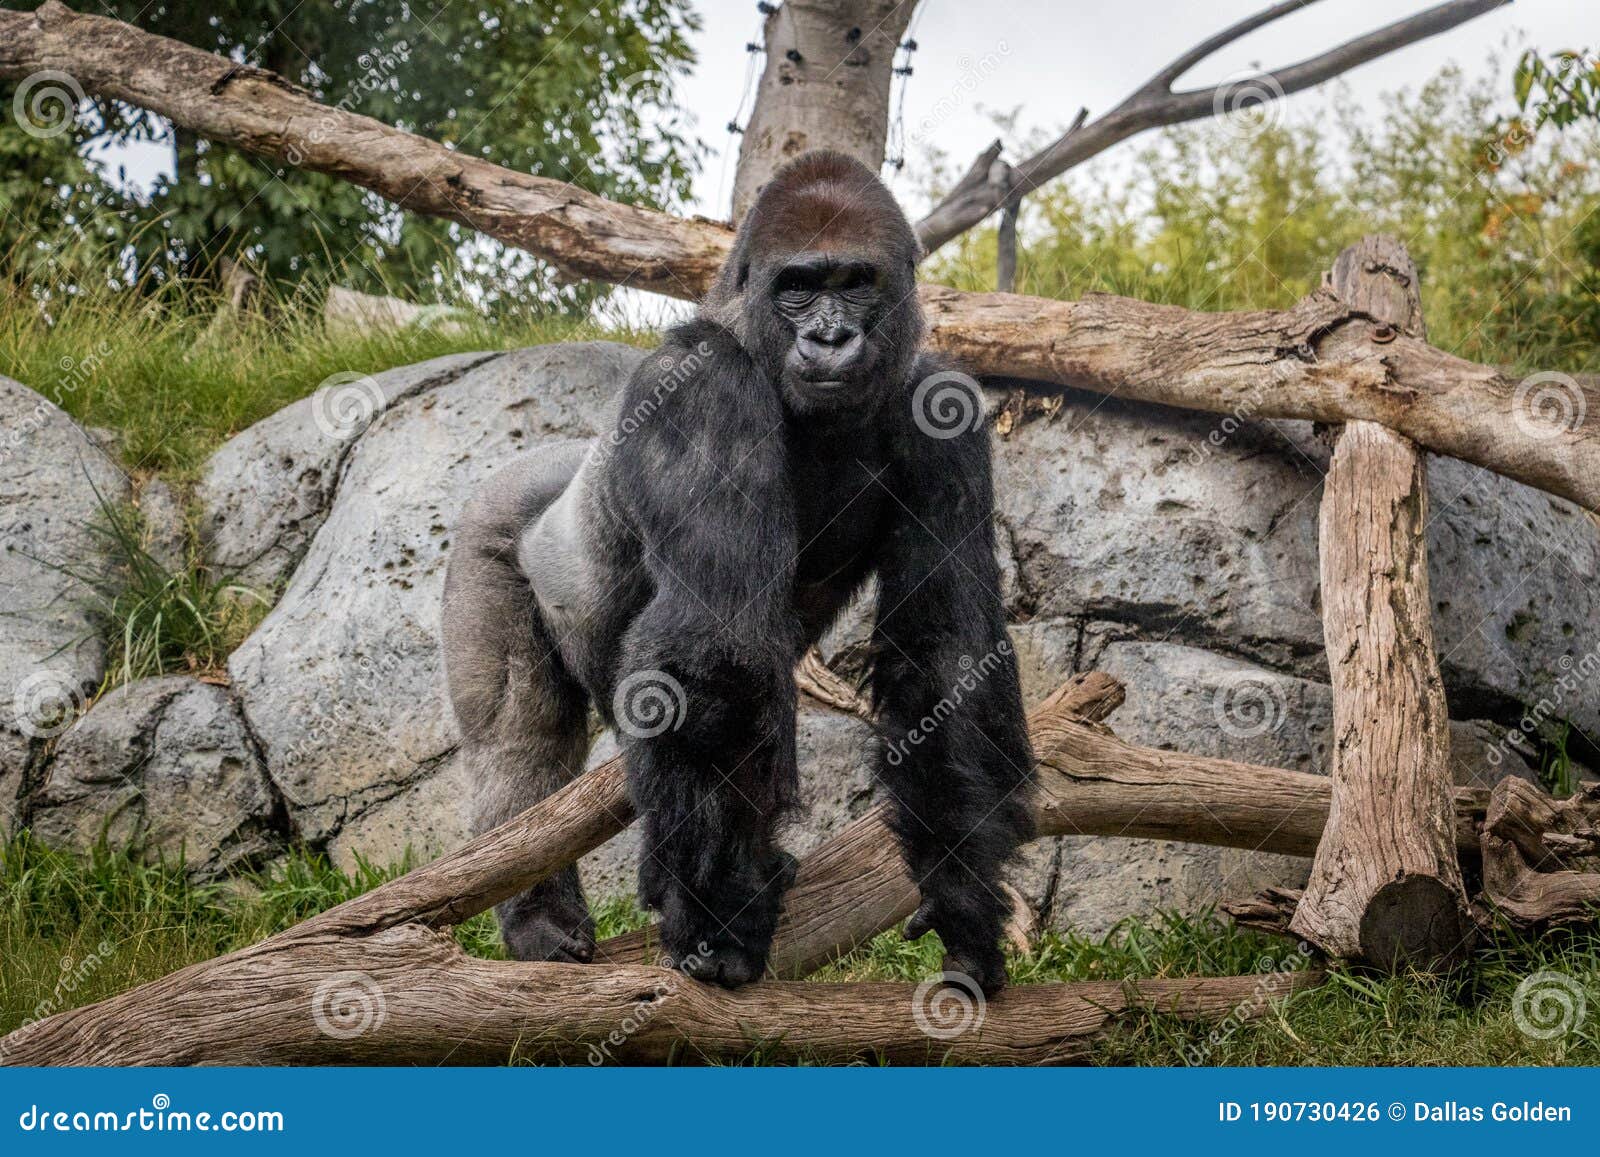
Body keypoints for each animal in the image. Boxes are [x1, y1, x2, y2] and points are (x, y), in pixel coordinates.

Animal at [442, 150, 1034, 994]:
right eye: (798, 287)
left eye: (857, 282)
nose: (830, 337)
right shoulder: (702, 381)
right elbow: (713, 644)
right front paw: (716, 921)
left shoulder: (940, 406)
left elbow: (945, 649)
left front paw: (964, 895)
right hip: (486, 529)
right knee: (519, 738)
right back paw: (538, 915)